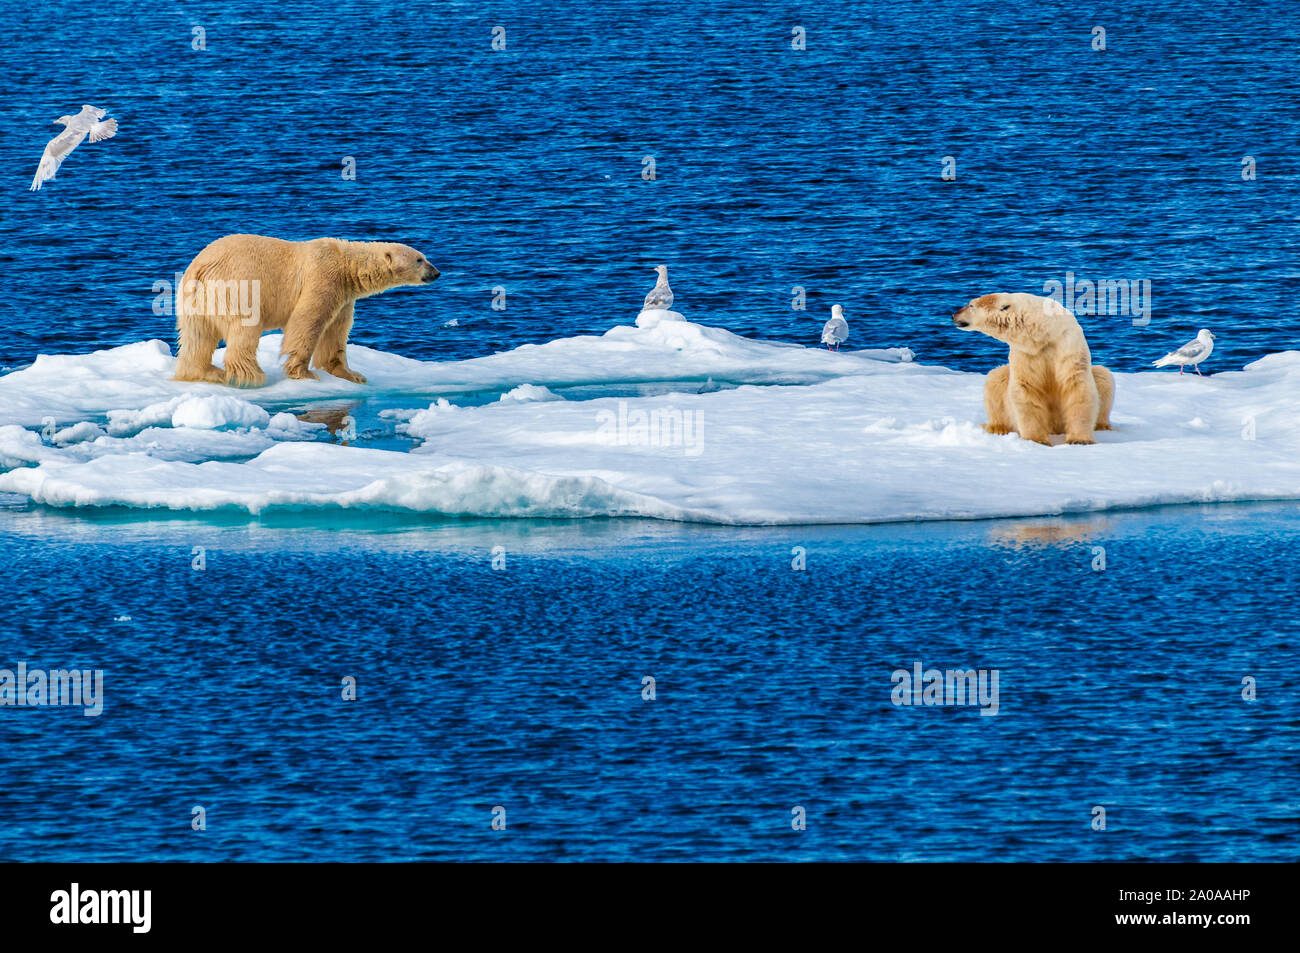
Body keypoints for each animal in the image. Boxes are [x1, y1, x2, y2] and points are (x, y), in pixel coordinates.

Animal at [172, 234, 439, 387]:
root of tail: (202, 267)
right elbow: (307, 321)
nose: (436, 272)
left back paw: (205, 372)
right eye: (419, 259)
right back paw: (250, 375)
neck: (346, 264)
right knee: (244, 328)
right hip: (238, 287)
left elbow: (336, 332)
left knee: (198, 336)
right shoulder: (323, 276)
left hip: (192, 299)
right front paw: (303, 373)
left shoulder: (344, 296)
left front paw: (351, 374)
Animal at [952, 292, 1114, 445]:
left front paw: (1080, 440)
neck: (1044, 334)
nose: (953, 315)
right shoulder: (1026, 353)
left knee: (1103, 376)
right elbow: (1026, 388)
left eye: (971, 305)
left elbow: (1077, 384)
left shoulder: (1067, 346)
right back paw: (998, 428)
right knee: (995, 379)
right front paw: (1037, 440)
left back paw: (1102, 426)